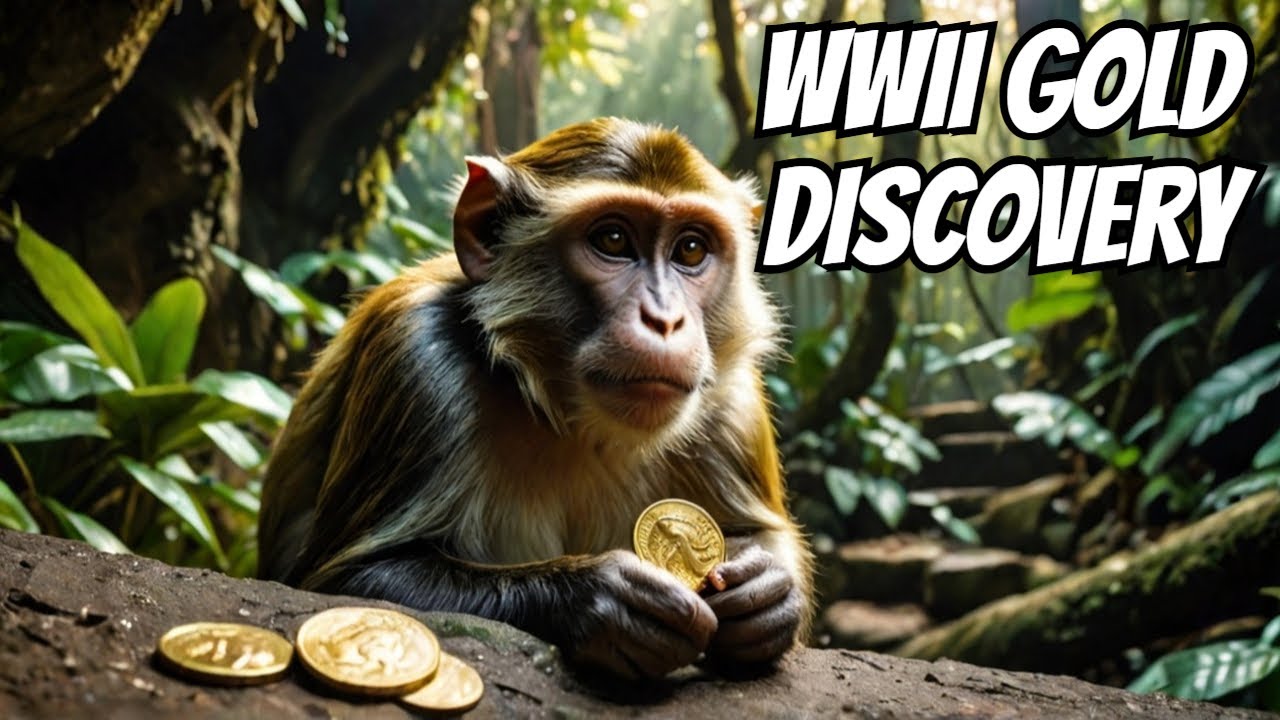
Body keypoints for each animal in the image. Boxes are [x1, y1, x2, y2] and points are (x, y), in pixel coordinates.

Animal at [257, 117, 814, 679]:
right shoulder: (416, 354)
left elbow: (762, 536)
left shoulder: (732, 398)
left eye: (691, 251)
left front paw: (765, 594)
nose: (665, 320)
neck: (568, 416)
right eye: (613, 239)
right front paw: (600, 597)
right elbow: (351, 581)